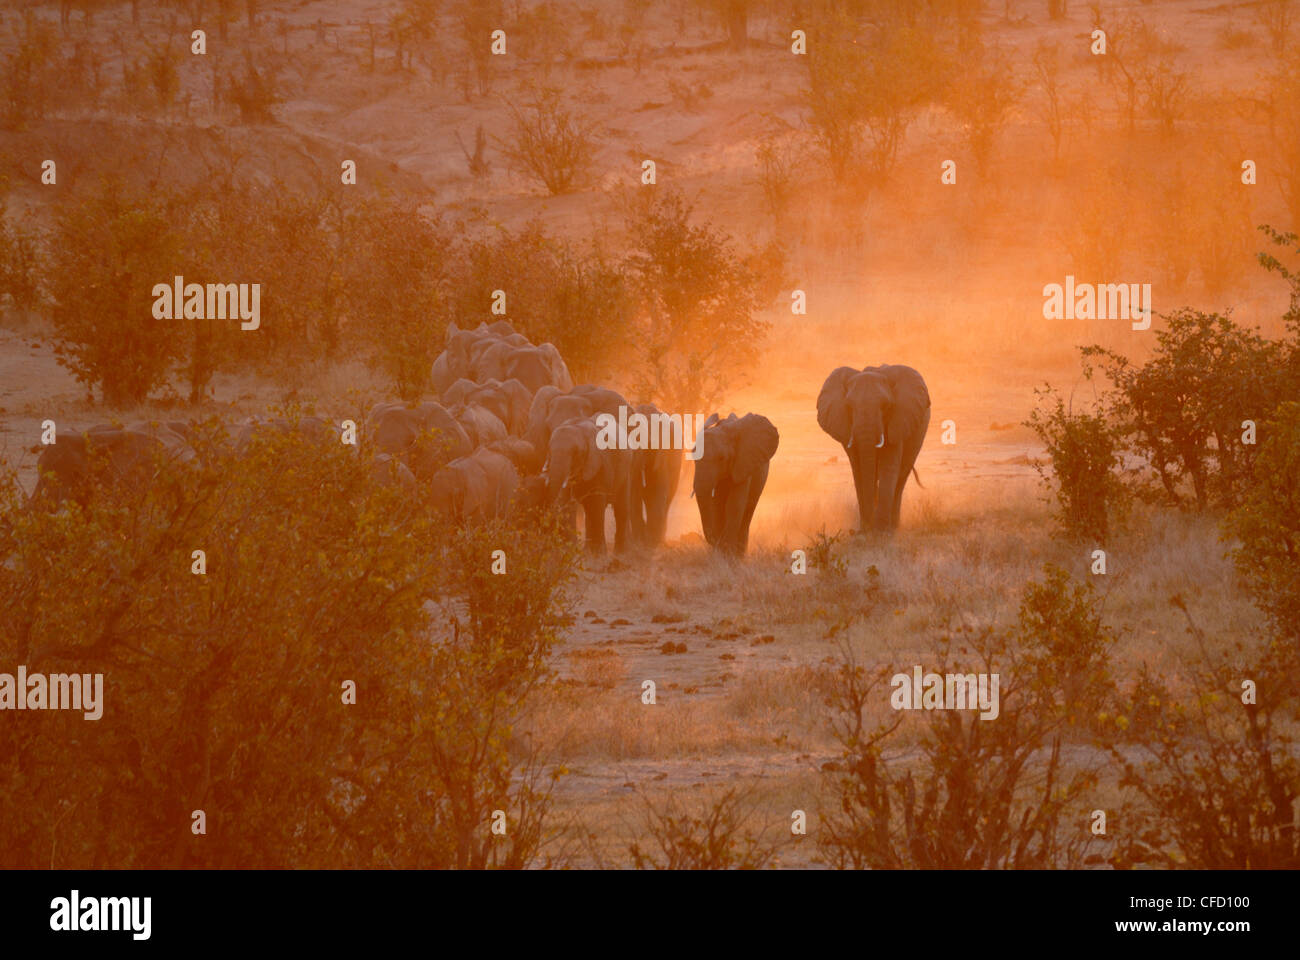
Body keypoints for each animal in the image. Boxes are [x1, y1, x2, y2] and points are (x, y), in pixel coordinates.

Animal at [544, 417, 633, 555]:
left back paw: (621, 553)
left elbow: (597, 505)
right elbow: (567, 502)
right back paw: (587, 551)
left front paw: (599, 555)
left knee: (621, 508)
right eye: (549, 449)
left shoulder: (600, 463)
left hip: (625, 471)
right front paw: (569, 551)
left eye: (576, 453)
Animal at [630, 402, 682, 548]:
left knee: (668, 496)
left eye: (649, 444)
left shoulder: (661, 454)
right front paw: (640, 541)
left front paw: (652, 542)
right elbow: (634, 493)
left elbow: (656, 488)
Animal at [692, 412, 779, 556]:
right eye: (693, 457)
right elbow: (717, 506)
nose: (715, 542)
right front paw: (721, 553)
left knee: (748, 512)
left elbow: (734, 505)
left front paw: (728, 553)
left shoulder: (744, 463)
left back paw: (739, 556)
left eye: (721, 458)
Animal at [816, 364, 930, 534]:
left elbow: (888, 466)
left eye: (885, 406)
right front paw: (867, 529)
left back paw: (894, 526)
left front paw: (881, 532)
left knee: (901, 478)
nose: (867, 527)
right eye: (849, 407)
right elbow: (858, 470)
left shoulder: (898, 421)